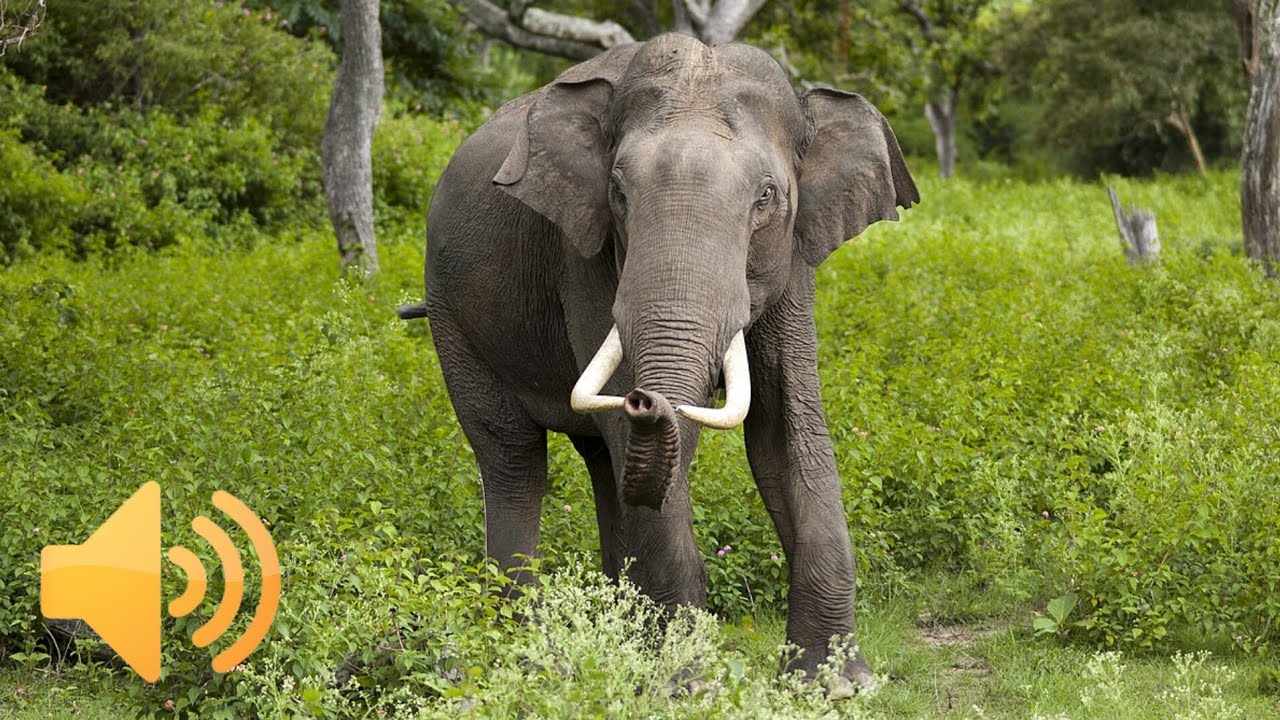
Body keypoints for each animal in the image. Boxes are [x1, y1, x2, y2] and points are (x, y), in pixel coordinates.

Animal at [398, 33, 918, 691]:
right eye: (619, 193)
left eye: (766, 197)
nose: (648, 399)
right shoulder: (584, 254)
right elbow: (646, 439)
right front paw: (686, 684)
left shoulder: (795, 256)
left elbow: (786, 430)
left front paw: (837, 684)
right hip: (451, 316)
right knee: (513, 457)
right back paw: (531, 652)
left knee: (602, 462)